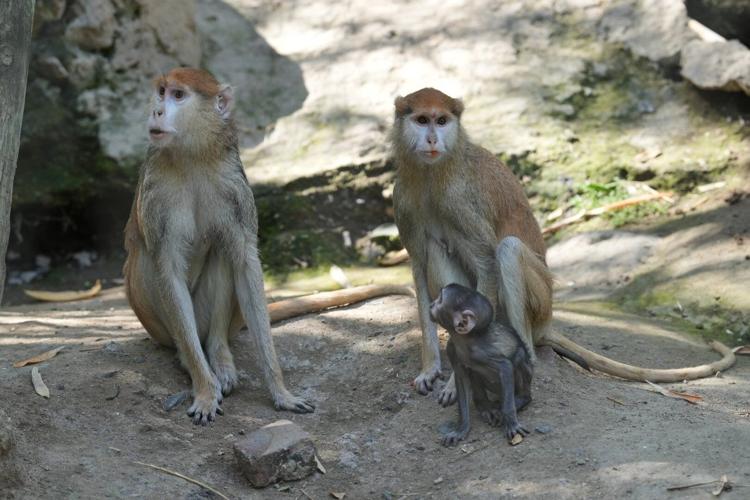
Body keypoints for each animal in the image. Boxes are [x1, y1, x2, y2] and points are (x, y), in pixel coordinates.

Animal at [390, 87, 735, 401]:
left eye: (442, 121)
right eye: (421, 120)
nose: (432, 139)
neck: (432, 175)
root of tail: (545, 325)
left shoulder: (459, 200)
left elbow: (487, 259)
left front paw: (455, 380)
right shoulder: (403, 200)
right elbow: (419, 265)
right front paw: (431, 368)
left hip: (541, 303)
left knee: (509, 250)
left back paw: (524, 357)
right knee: (436, 249)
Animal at [430, 284, 531, 446]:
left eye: (440, 300)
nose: (431, 305)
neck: (465, 341)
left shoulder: (483, 352)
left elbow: (506, 367)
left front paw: (511, 422)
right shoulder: (452, 348)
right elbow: (461, 377)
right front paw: (461, 429)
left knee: (520, 354)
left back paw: (521, 399)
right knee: (474, 373)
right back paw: (485, 407)